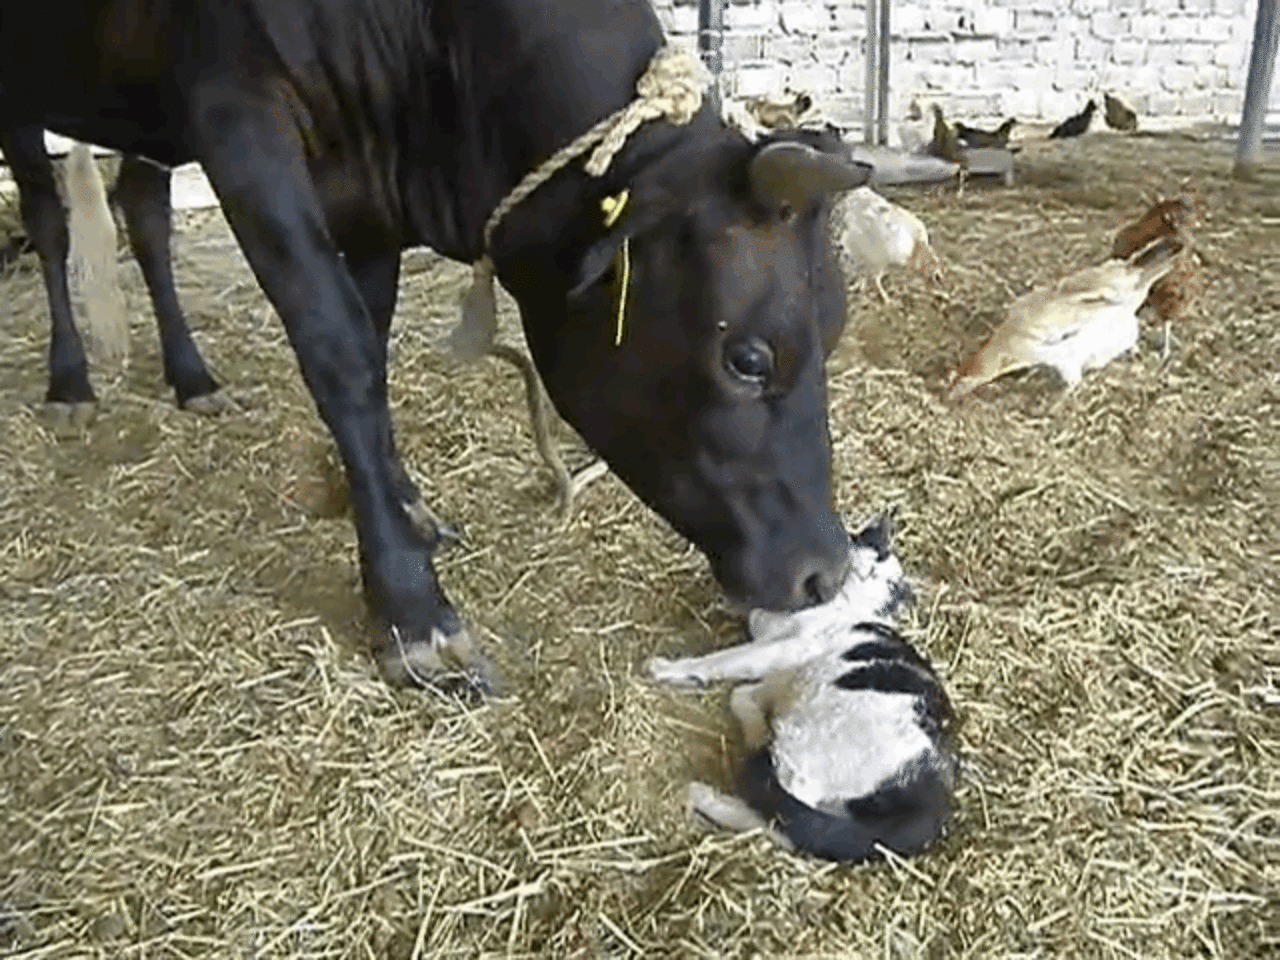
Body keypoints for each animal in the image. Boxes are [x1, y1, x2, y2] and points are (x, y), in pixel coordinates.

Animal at [0, 0, 872, 689]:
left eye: (835, 329)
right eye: (748, 358)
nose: (825, 570)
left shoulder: (365, 192)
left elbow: (371, 341)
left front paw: (404, 506)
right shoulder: (237, 122)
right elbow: (340, 353)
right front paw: (410, 608)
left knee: (144, 211)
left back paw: (190, 376)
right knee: (46, 215)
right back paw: (71, 383)